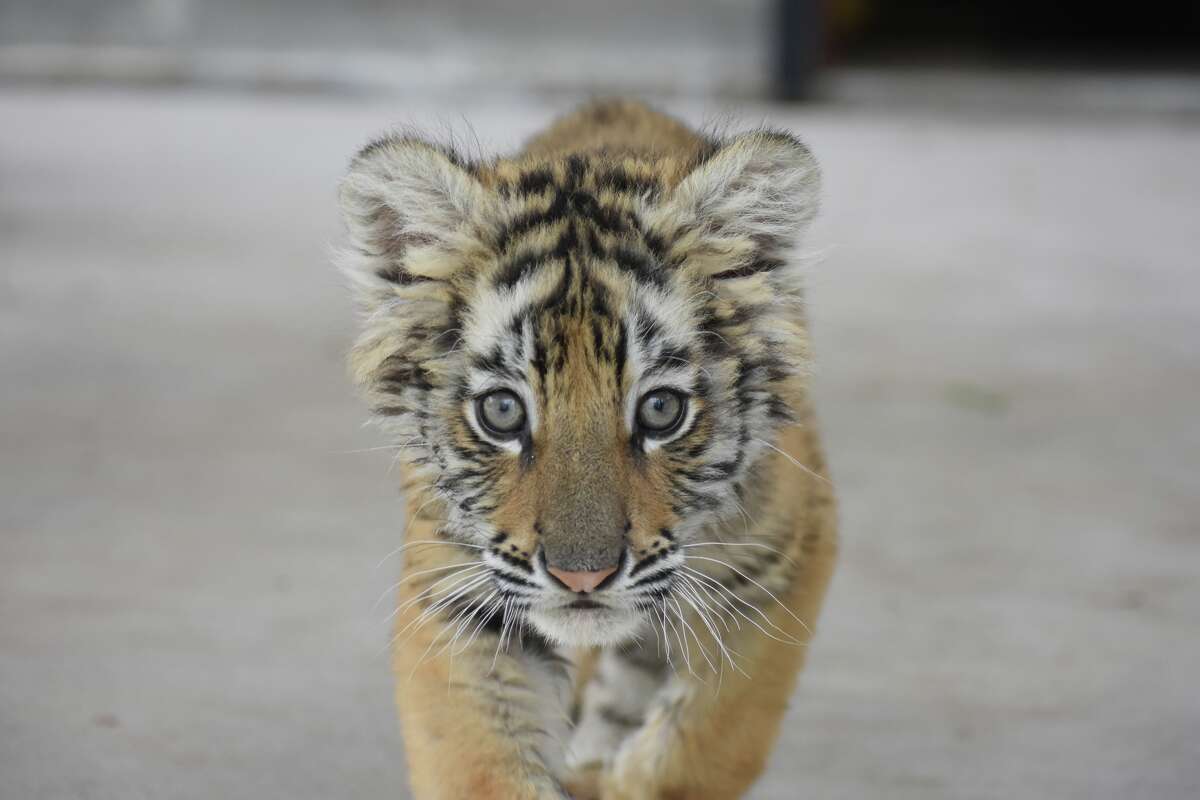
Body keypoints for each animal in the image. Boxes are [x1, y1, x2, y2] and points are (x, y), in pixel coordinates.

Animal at [338, 99, 838, 800]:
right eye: (502, 411)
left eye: (661, 410)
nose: (583, 578)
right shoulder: (454, 594)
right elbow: (478, 762)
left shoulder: (781, 566)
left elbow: (701, 745)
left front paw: (629, 778)